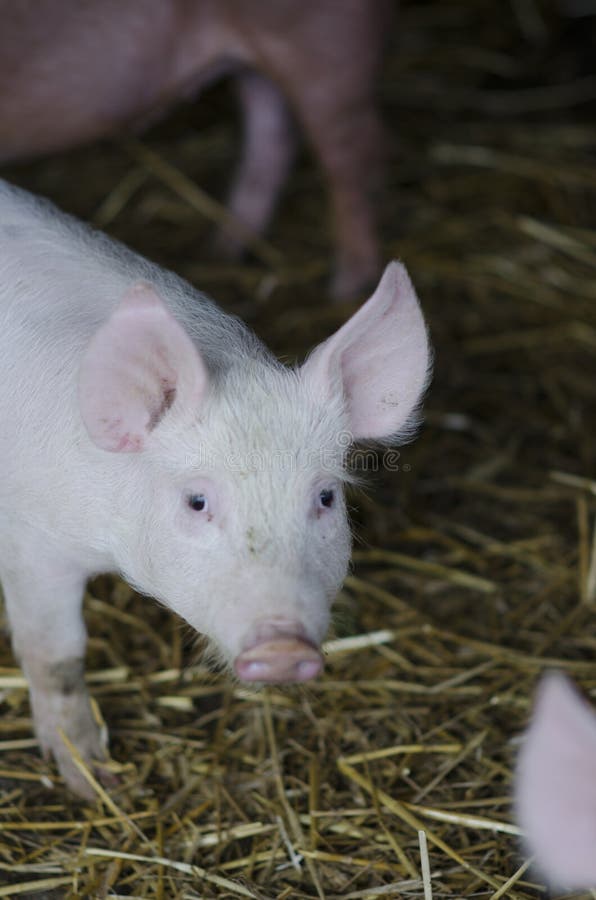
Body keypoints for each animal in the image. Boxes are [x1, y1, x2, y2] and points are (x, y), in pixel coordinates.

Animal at [0, 0, 392, 299]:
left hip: (327, 52)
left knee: (357, 155)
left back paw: (344, 288)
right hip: (259, 68)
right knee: (273, 140)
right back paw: (220, 252)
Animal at [0, 178, 430, 798]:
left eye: (325, 498)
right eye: (197, 500)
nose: (282, 647)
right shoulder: (31, 543)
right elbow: (56, 655)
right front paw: (96, 780)